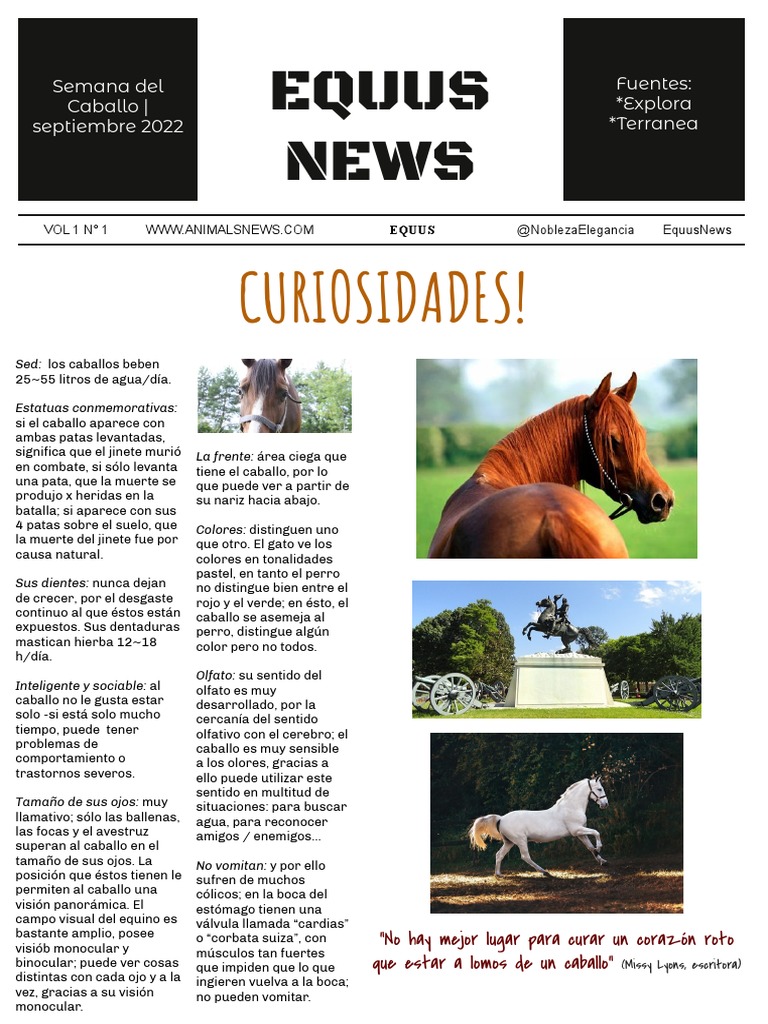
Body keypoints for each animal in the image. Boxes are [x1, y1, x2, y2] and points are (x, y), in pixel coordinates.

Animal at [469, 778, 609, 878]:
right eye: (599, 789)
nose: (605, 804)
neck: (571, 807)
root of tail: (501, 818)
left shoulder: (580, 833)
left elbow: (590, 847)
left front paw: (602, 861)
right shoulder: (577, 830)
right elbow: (596, 832)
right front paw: (599, 847)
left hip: (509, 842)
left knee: (499, 855)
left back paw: (499, 874)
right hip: (521, 840)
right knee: (525, 857)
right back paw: (544, 872)